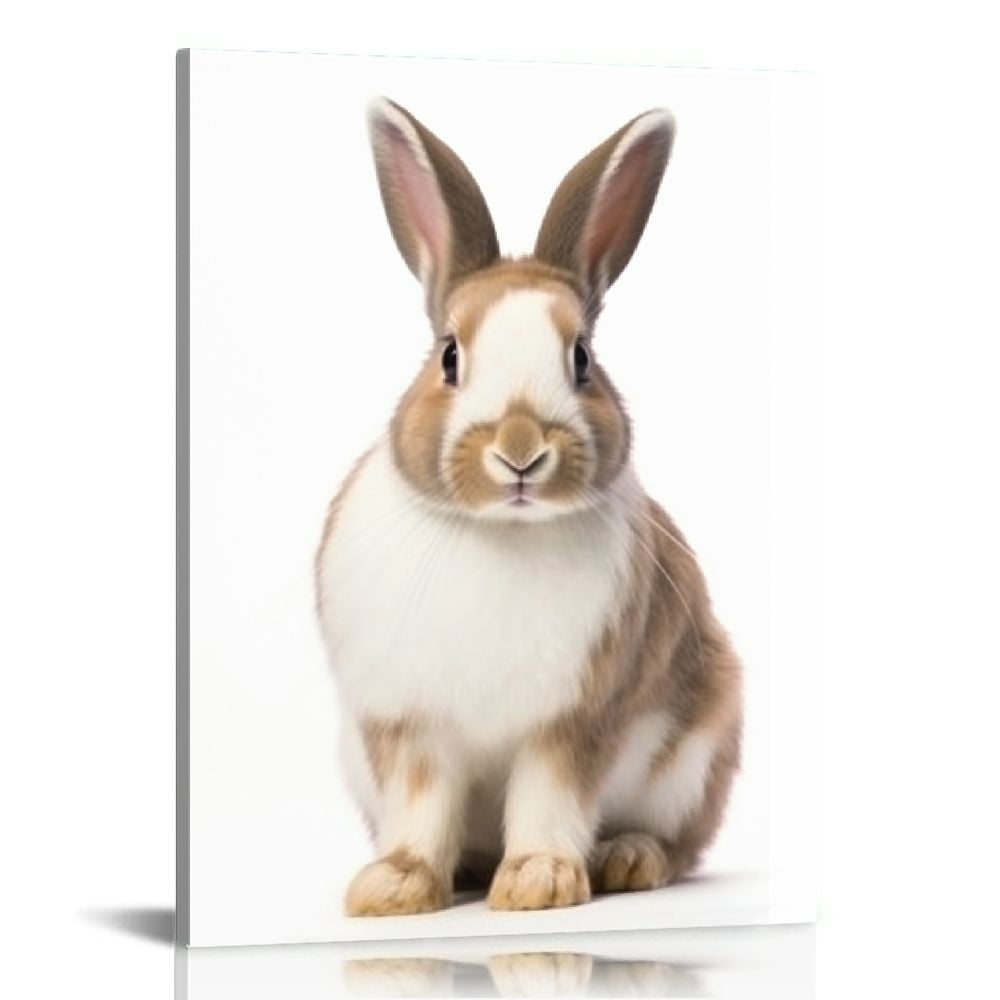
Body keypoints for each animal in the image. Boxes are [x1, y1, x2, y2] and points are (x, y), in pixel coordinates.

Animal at [315, 97, 742, 917]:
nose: (519, 451)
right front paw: (394, 887)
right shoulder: (409, 728)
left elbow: (550, 799)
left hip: (697, 755)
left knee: (681, 842)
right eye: (449, 356)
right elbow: (421, 805)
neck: (500, 535)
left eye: (582, 360)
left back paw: (628, 858)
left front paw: (539, 882)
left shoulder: (572, 724)